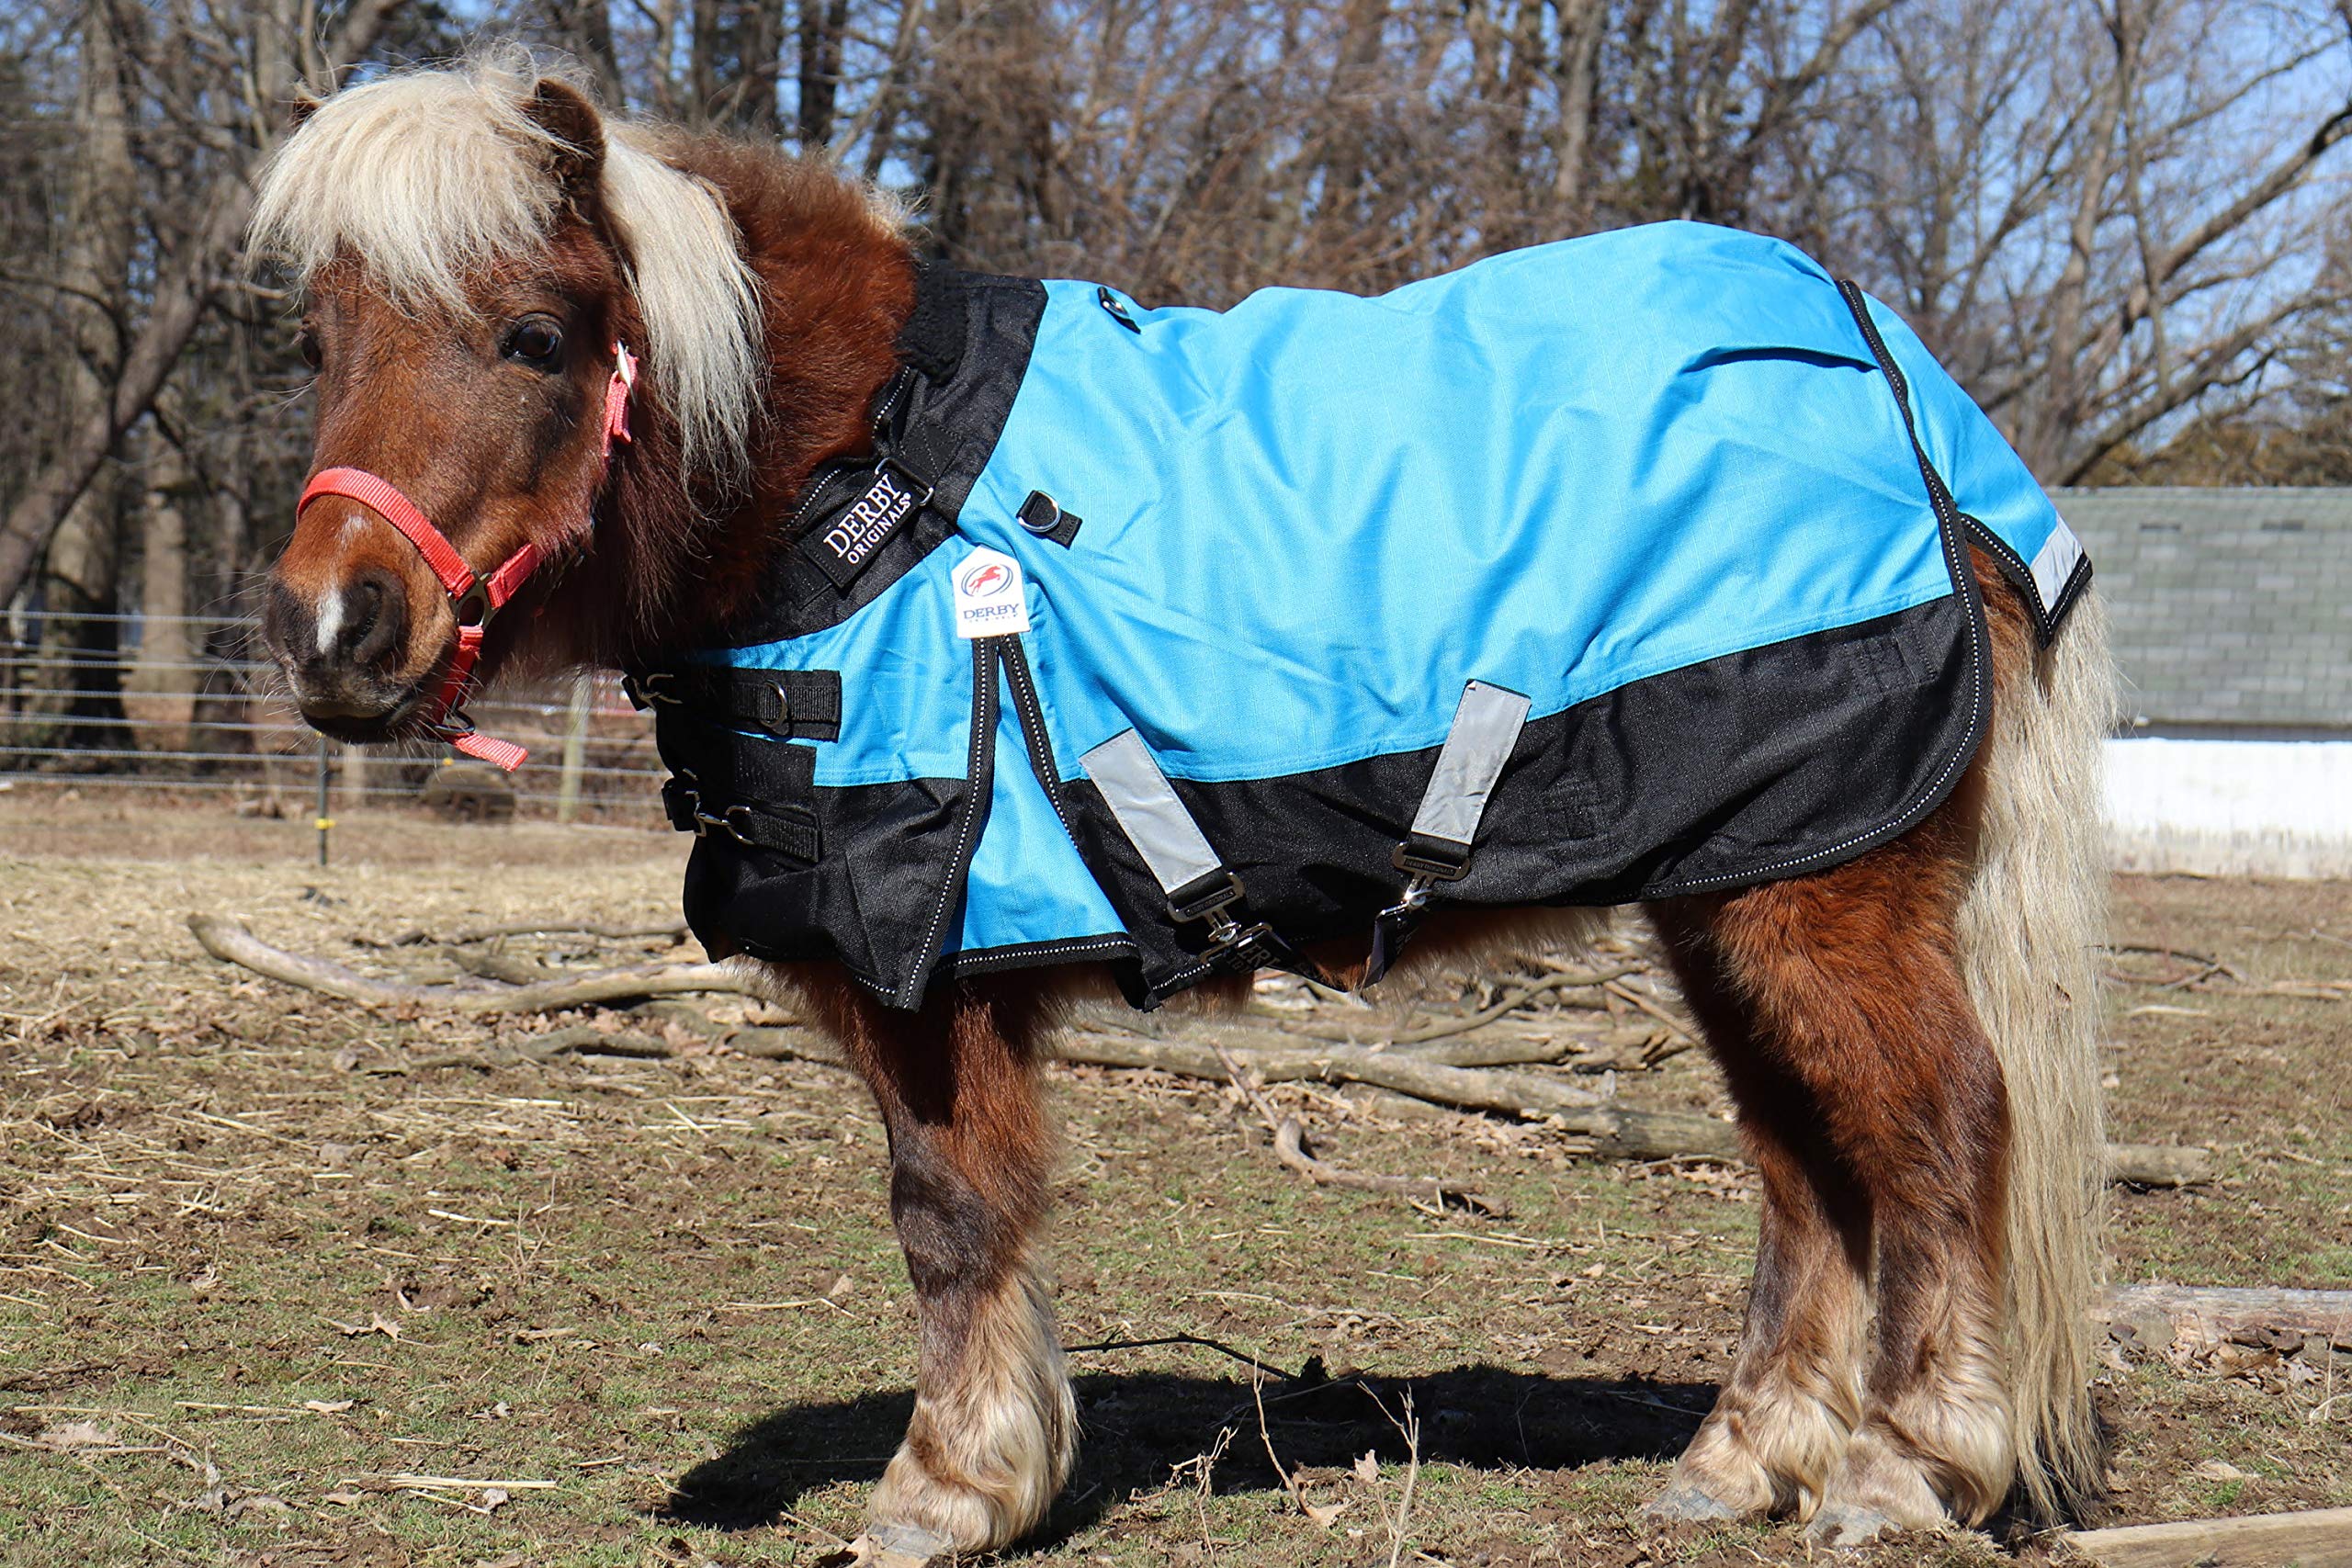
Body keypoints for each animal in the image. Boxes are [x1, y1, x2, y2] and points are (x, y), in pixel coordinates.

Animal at [253, 55, 2117, 1561]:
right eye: (321, 341)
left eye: (534, 336)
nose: (329, 631)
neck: (874, 479)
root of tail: (1912, 400)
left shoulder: (931, 972)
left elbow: (949, 1212)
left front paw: (949, 1485)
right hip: (1731, 889)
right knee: (1806, 1161)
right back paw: (1746, 1459)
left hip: (1824, 896)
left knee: (1939, 1128)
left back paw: (1906, 1462)